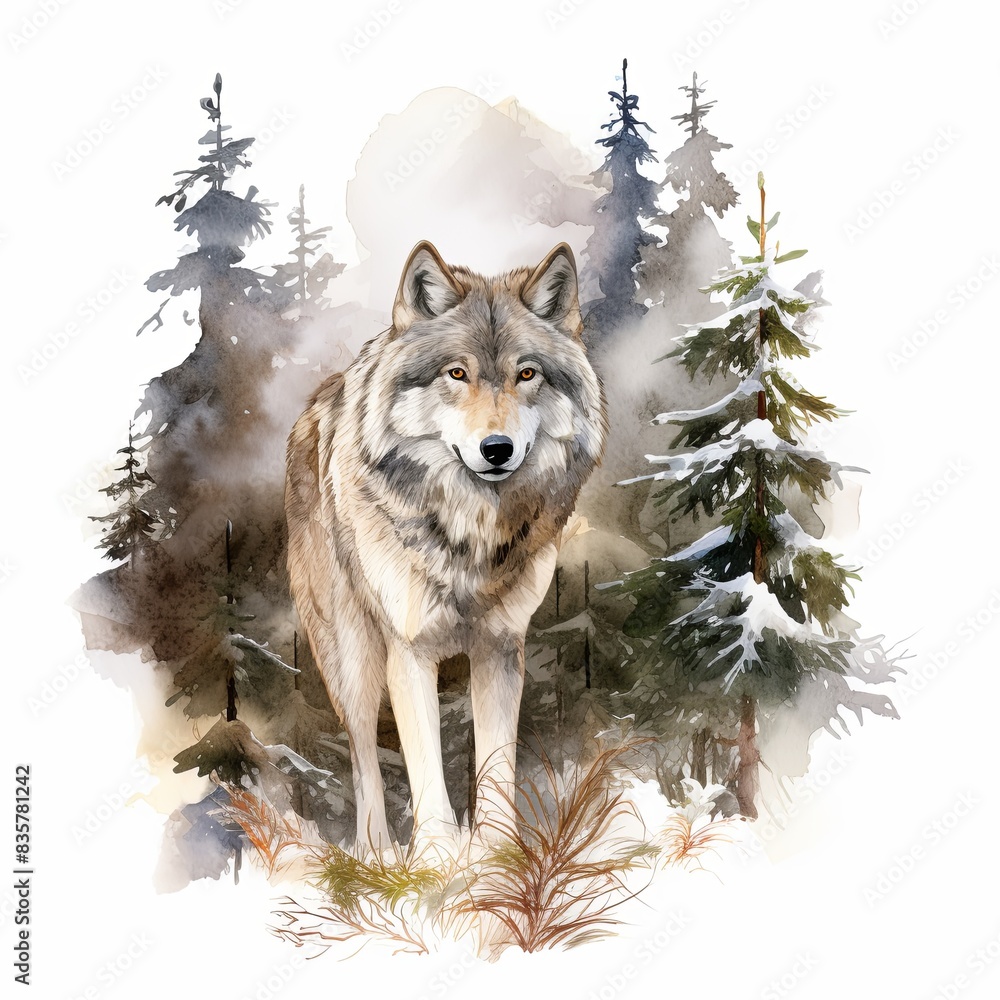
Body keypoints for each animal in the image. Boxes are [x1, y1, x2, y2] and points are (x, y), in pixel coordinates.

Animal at [285, 240, 607, 848]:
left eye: (526, 374)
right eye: (457, 373)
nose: (497, 448)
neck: (468, 537)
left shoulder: (502, 648)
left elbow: (496, 764)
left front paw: (496, 854)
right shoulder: (409, 652)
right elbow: (425, 771)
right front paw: (436, 857)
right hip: (351, 654)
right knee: (363, 757)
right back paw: (375, 852)